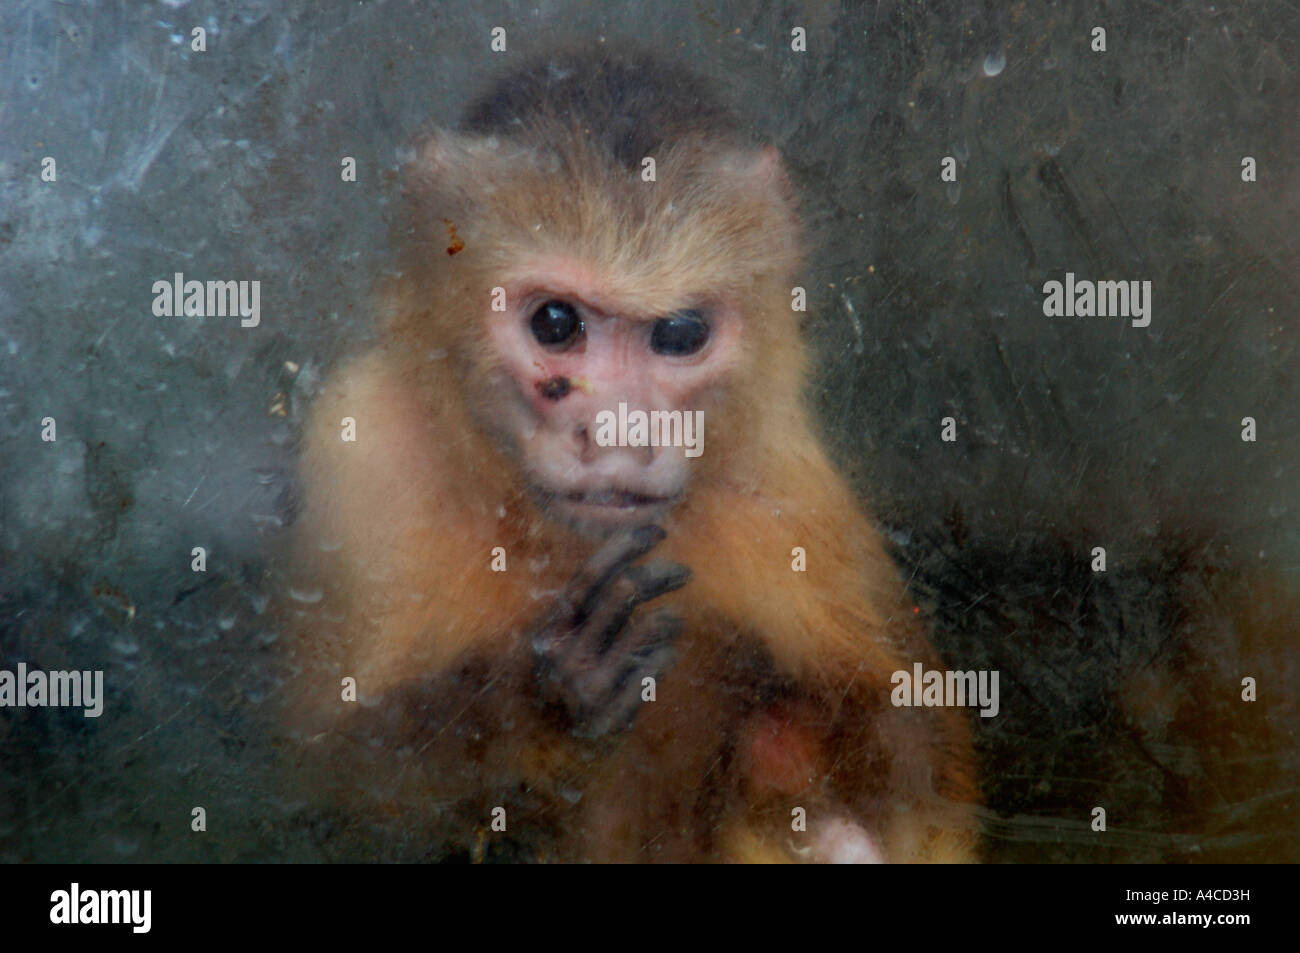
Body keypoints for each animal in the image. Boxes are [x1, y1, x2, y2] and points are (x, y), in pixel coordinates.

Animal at [282, 47, 978, 863]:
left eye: (679, 333)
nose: (619, 432)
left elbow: (920, 745)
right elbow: (318, 780)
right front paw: (552, 694)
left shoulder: (784, 482)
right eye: (556, 323)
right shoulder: (361, 447)